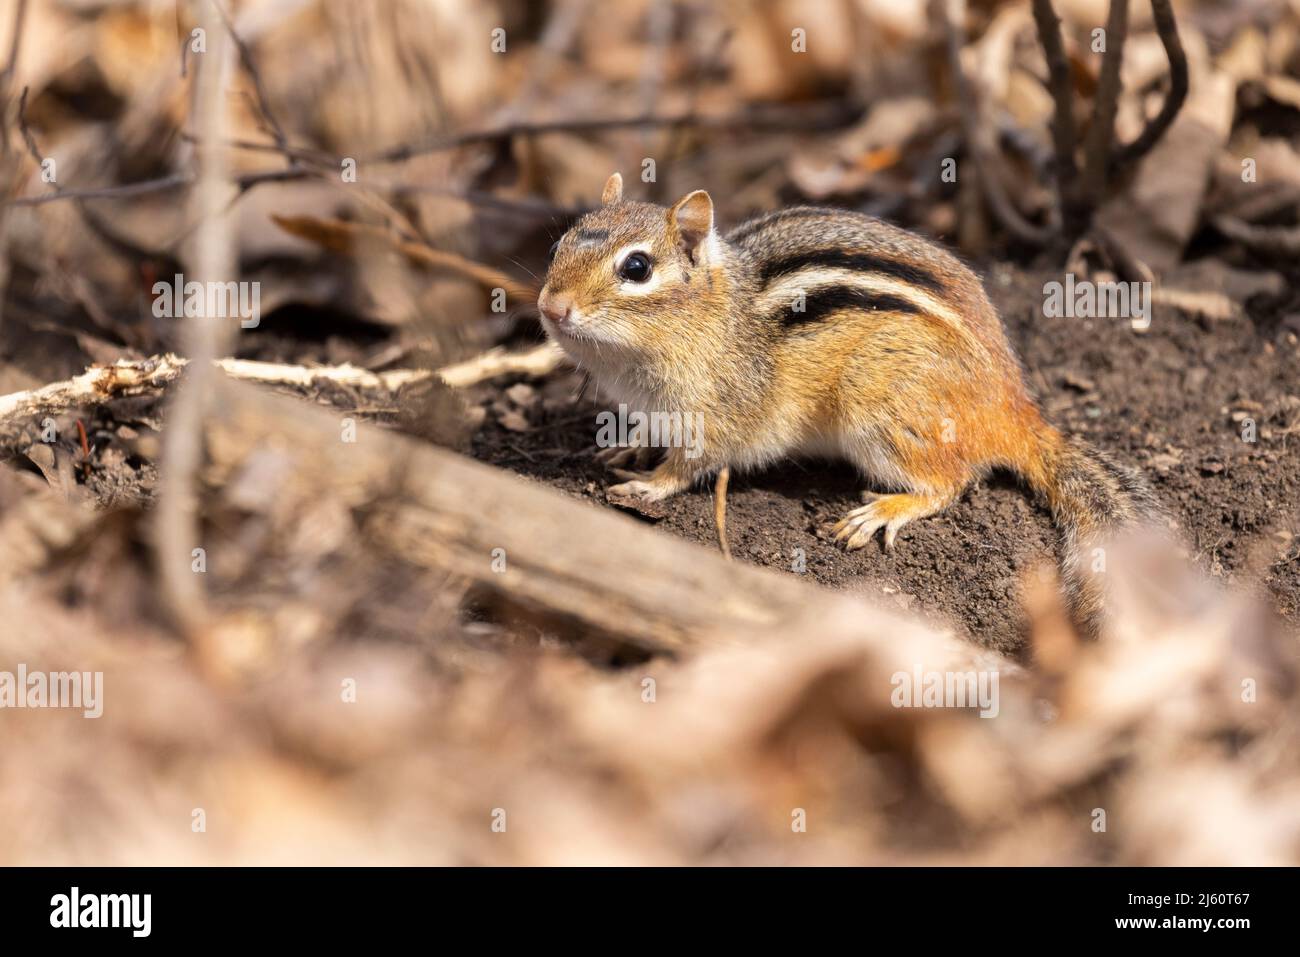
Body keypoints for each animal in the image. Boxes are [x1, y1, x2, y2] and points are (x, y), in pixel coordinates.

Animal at [537, 172, 1164, 636]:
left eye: (636, 267)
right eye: (560, 244)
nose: (550, 307)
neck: (711, 316)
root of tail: (1014, 409)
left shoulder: (719, 412)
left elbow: (691, 465)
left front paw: (649, 485)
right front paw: (628, 446)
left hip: (880, 409)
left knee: (951, 481)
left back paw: (885, 509)